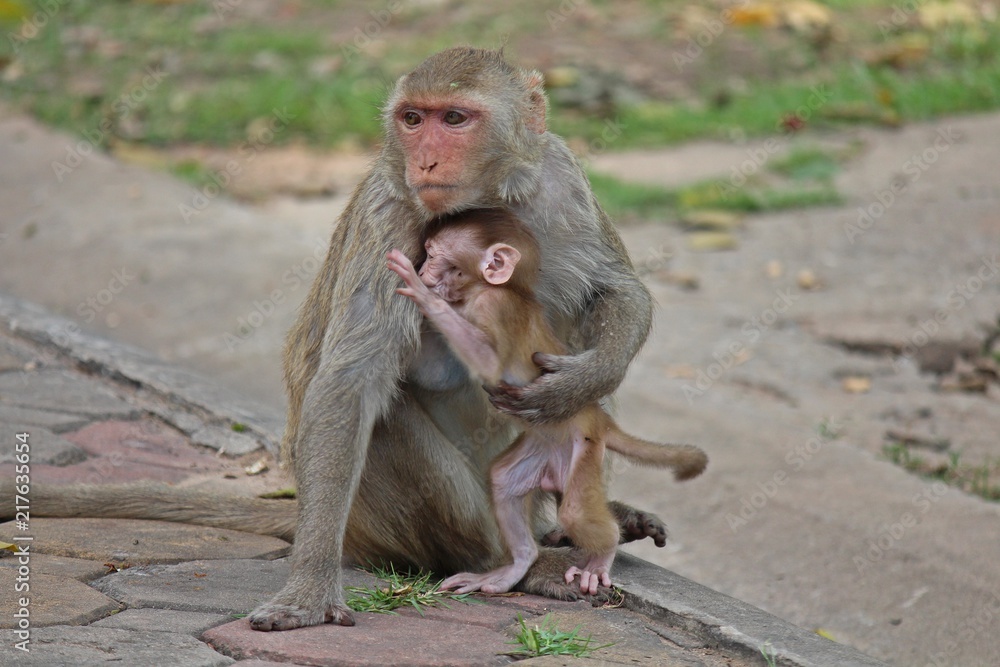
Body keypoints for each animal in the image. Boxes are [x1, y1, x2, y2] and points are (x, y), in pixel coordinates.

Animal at [9, 48, 668, 631]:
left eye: (454, 119)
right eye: (413, 119)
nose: (425, 162)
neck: (487, 203)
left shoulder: (561, 178)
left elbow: (617, 292)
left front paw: (582, 378)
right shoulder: (389, 214)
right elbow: (352, 384)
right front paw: (308, 592)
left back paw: (572, 520)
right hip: (400, 521)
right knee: (385, 416)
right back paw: (512, 563)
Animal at [386, 209, 707, 595]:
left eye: (436, 256)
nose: (424, 270)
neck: (483, 290)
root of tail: (598, 418)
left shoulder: (493, 306)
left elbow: (490, 364)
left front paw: (425, 298)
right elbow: (435, 374)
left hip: (583, 451)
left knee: (576, 514)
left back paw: (602, 554)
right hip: (541, 449)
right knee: (503, 480)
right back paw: (518, 563)